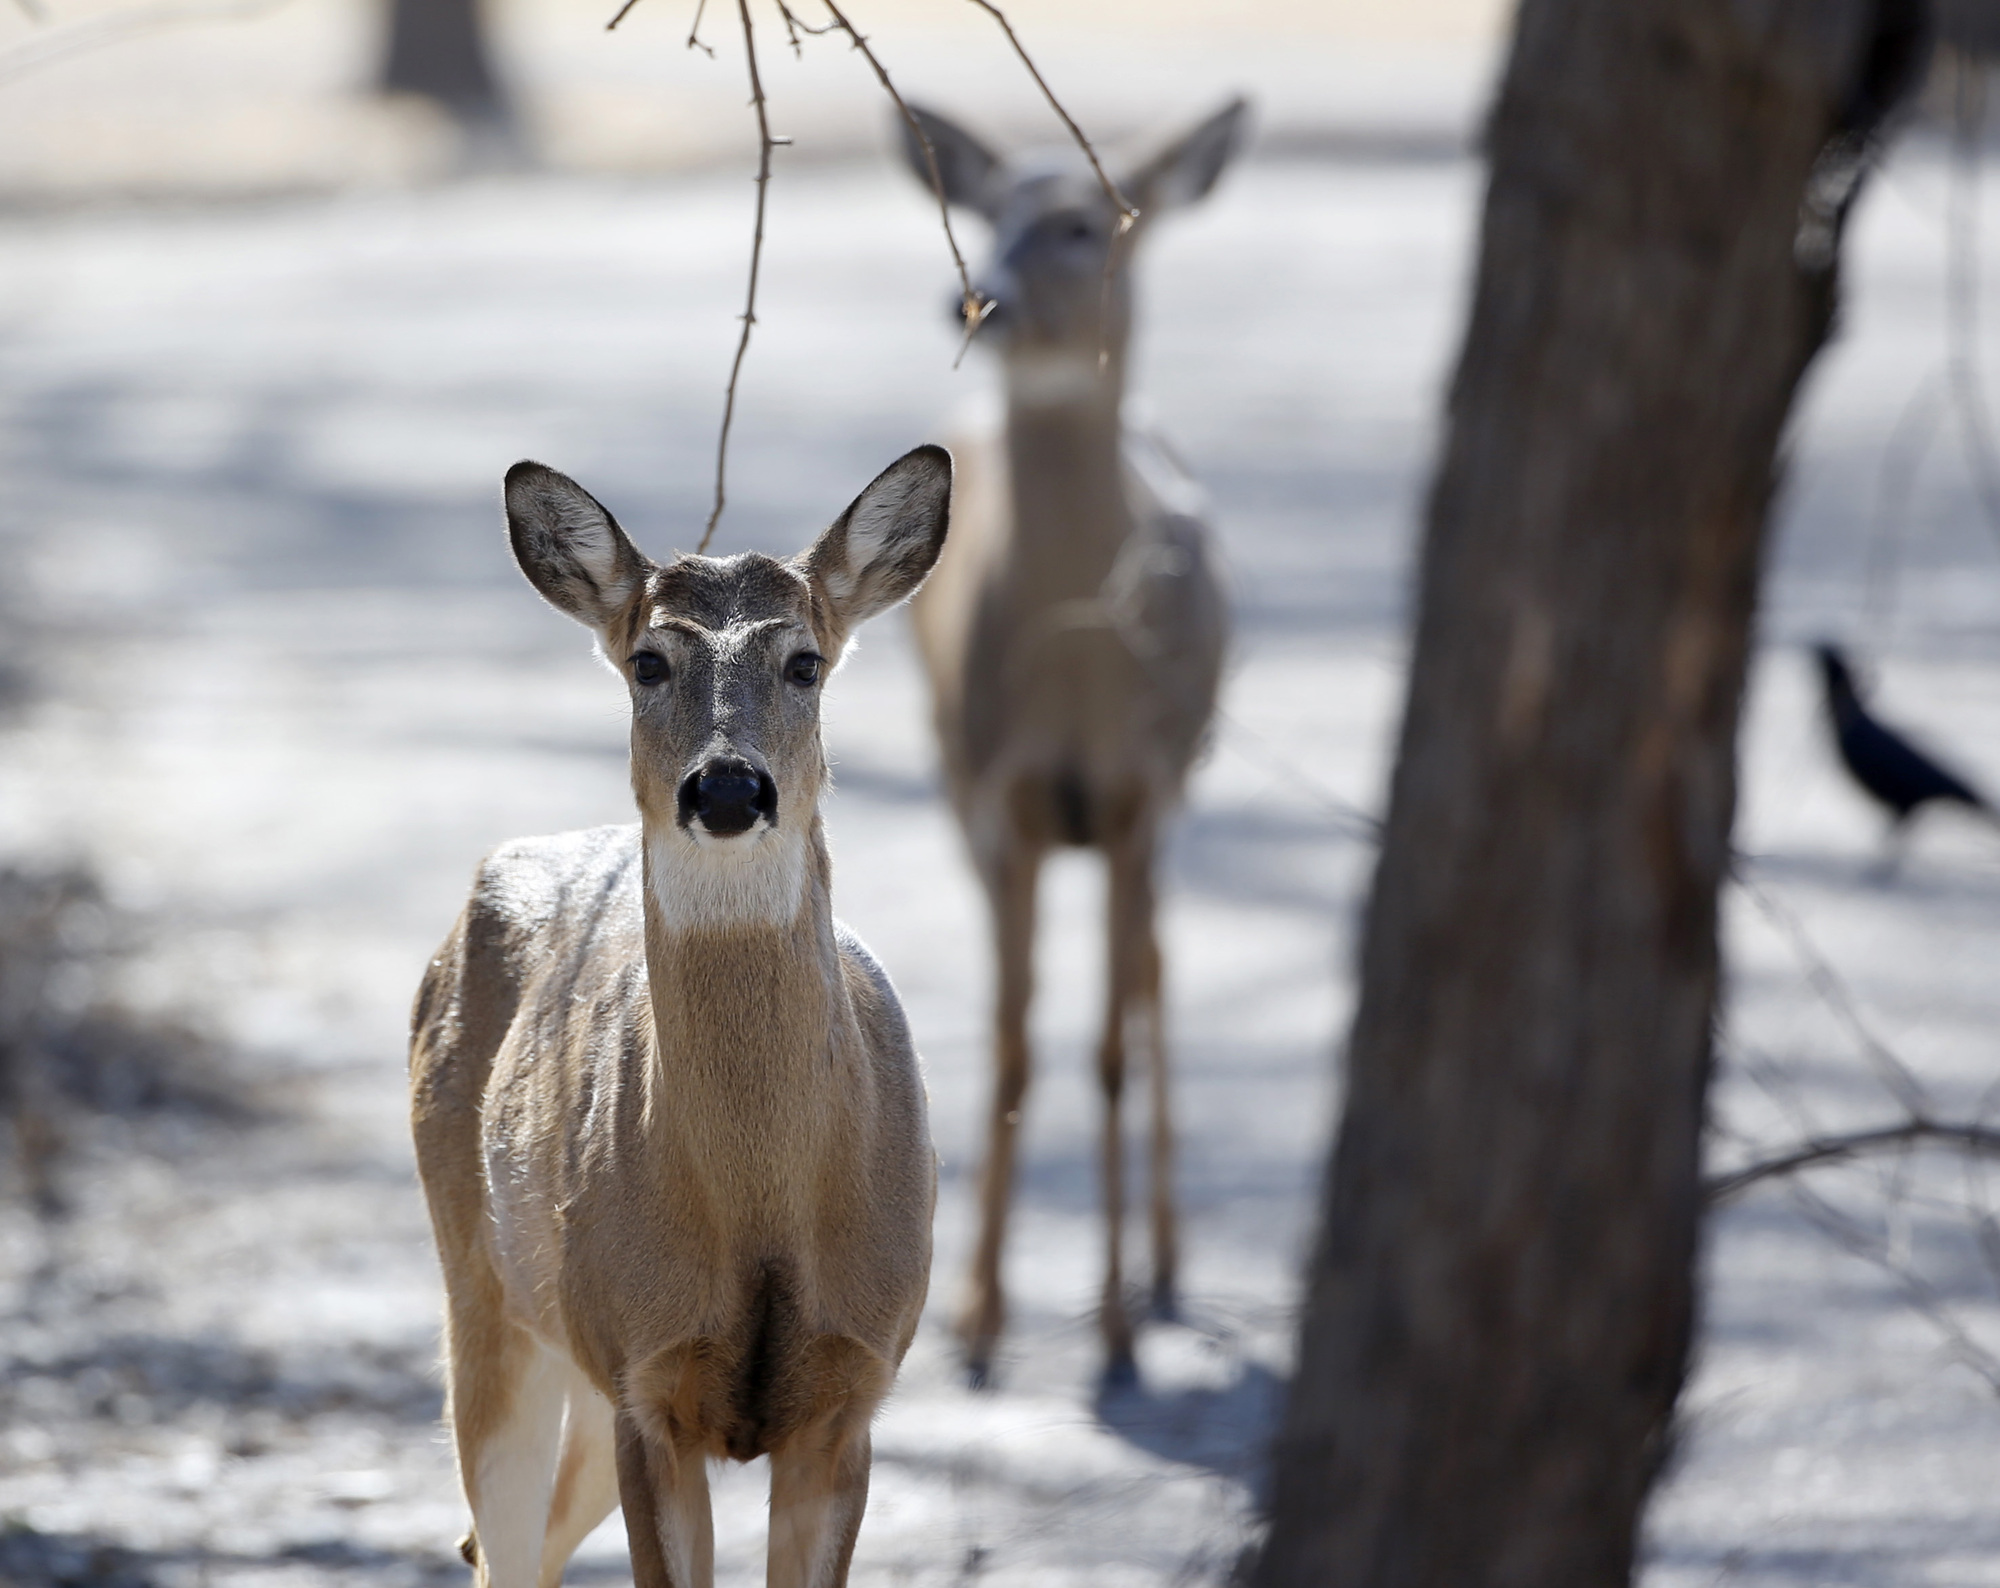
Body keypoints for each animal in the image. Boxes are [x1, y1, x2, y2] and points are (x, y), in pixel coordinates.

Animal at [408, 445, 952, 1588]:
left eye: (805, 662)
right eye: (649, 662)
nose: (730, 788)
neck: (761, 1211)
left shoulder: (850, 1393)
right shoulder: (643, 1378)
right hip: (489, 1297)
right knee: (493, 1538)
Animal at [892, 98, 1246, 1387]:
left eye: (1086, 223)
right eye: (983, 211)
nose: (977, 298)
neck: (1081, 679)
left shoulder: (1142, 788)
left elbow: (1102, 1044)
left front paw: (1116, 1332)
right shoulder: (1001, 795)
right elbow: (1008, 1044)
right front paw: (979, 1317)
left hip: (1184, 783)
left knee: (1151, 975)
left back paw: (1168, 1263)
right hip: (950, 769)